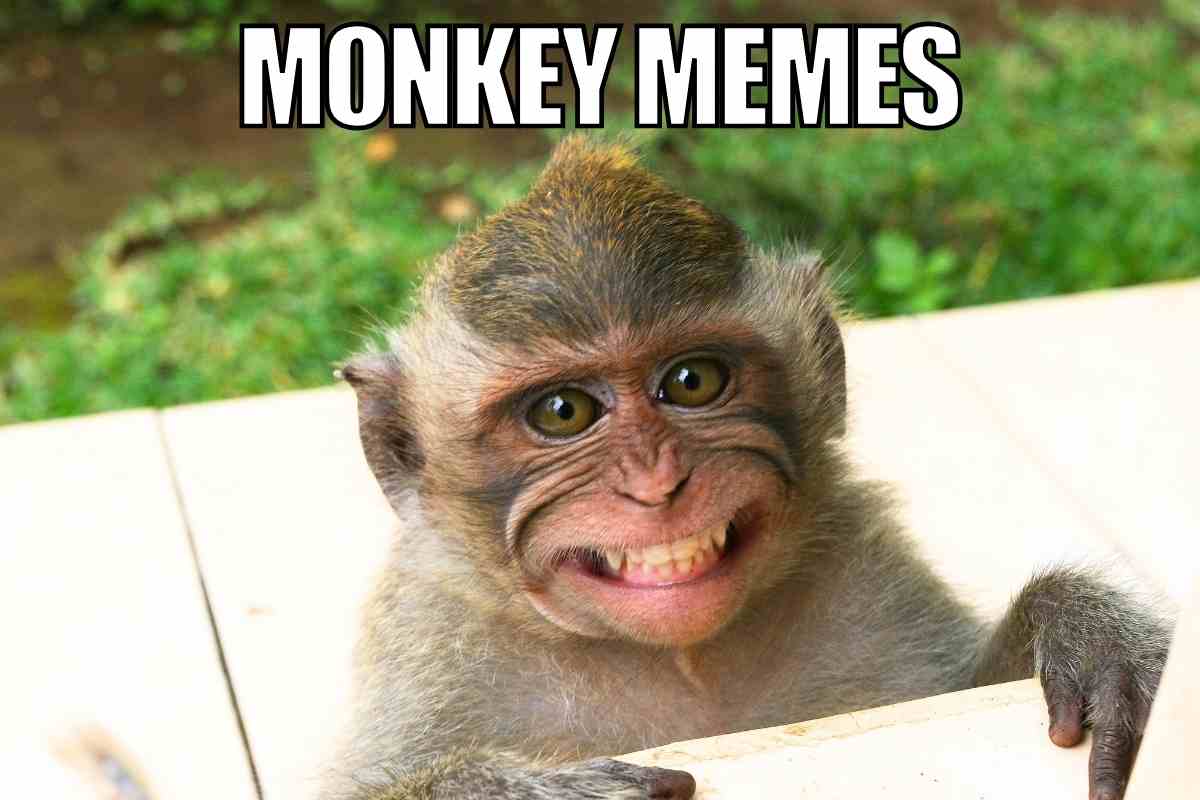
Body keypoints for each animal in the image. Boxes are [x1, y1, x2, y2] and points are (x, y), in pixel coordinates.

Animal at [327, 137, 1171, 800]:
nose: (656, 484)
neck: (684, 662)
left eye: (693, 381)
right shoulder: (433, 645)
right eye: (562, 412)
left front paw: (1082, 627)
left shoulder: (866, 568)